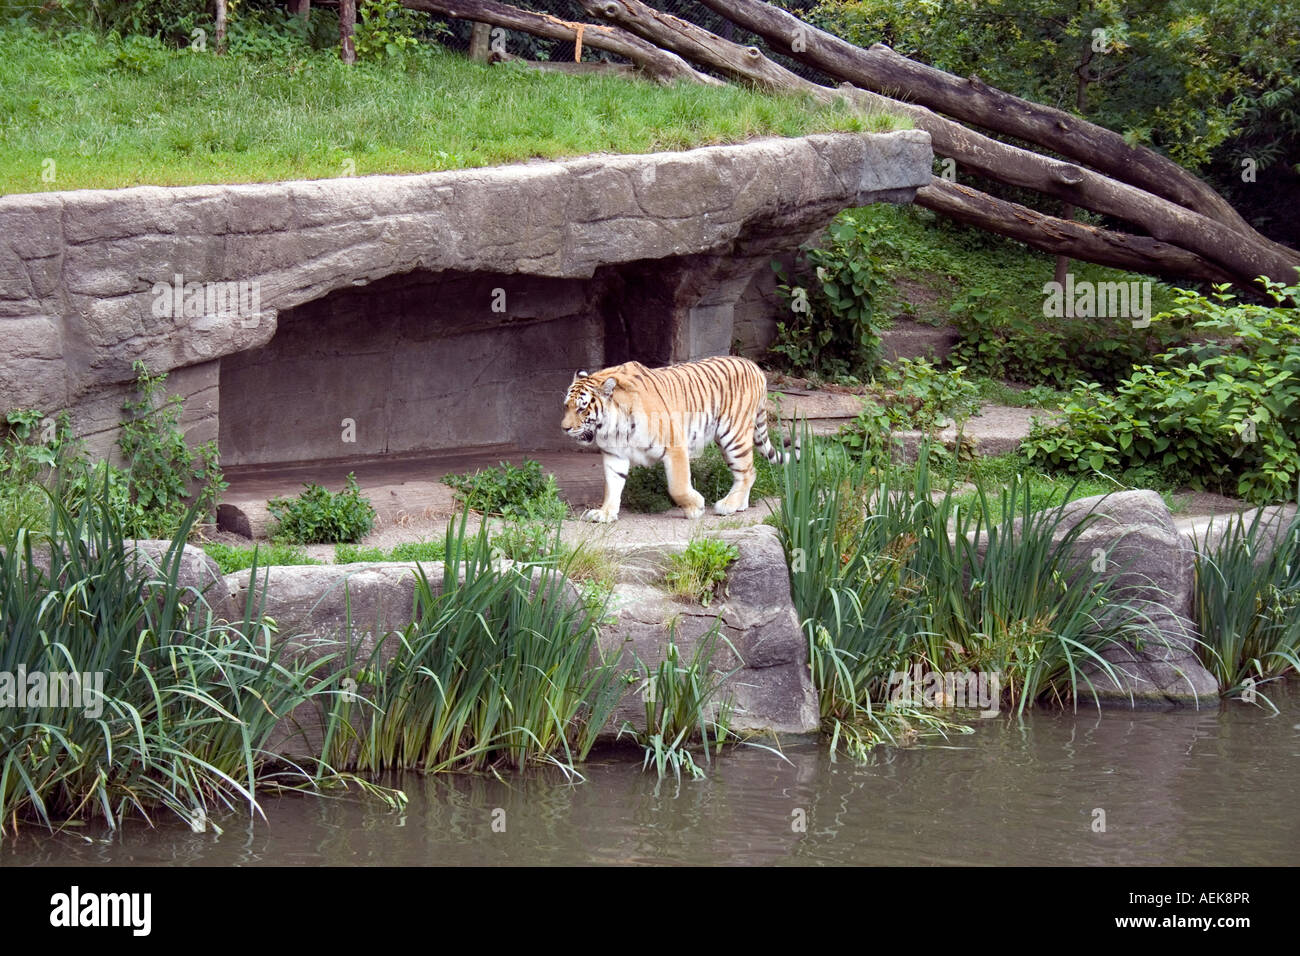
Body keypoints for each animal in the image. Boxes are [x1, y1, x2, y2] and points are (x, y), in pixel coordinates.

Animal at [561, 355, 795, 522]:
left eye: (582, 408)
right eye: (567, 406)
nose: (564, 428)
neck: (613, 428)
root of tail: (755, 366)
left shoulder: (674, 446)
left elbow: (678, 487)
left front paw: (696, 507)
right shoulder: (614, 455)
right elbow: (612, 485)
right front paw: (605, 513)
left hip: (733, 435)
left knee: (747, 471)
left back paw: (728, 505)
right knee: (750, 471)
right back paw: (739, 504)